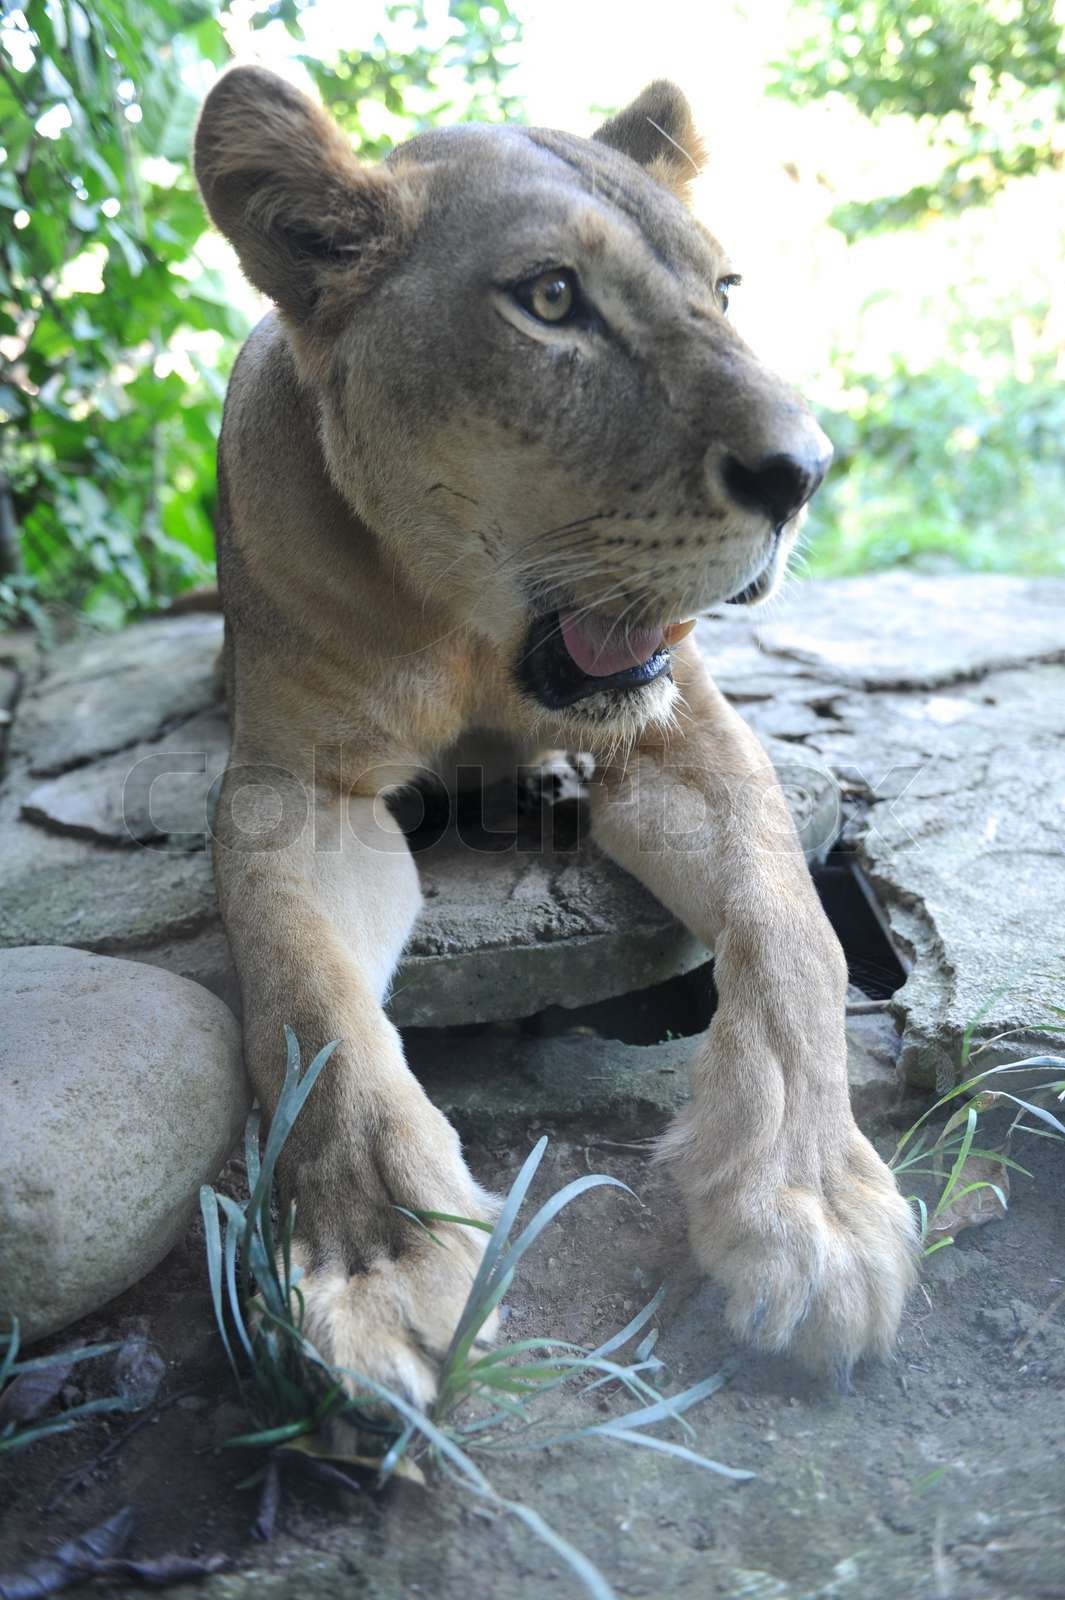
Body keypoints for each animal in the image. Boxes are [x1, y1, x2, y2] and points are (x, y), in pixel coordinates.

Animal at [193, 66, 917, 1403]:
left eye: (724, 291)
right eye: (550, 300)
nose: (807, 472)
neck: (468, 630)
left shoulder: (682, 728)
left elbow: (797, 934)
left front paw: (809, 1207)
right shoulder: (295, 788)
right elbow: (308, 999)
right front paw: (380, 1260)